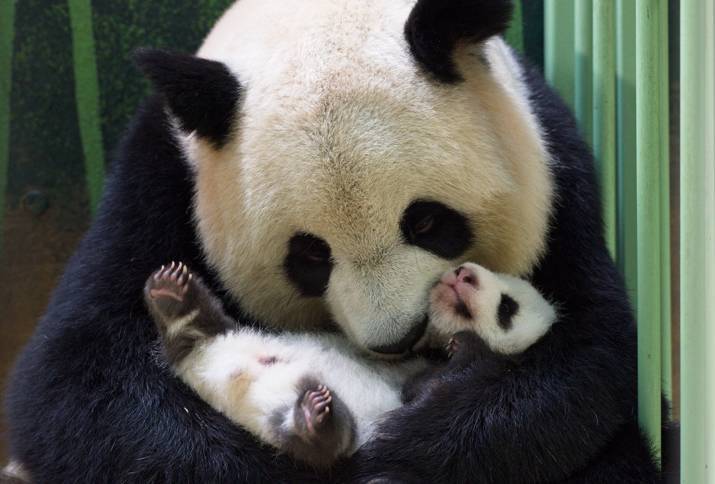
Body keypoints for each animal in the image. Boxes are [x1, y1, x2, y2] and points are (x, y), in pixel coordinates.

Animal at [143, 261, 556, 469]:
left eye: (508, 307)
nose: (463, 272)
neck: (431, 349)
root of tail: (212, 370)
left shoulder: (468, 383)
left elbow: (430, 391)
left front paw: (466, 347)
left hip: (321, 430)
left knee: (325, 444)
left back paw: (314, 418)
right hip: (233, 337)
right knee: (204, 325)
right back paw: (174, 296)